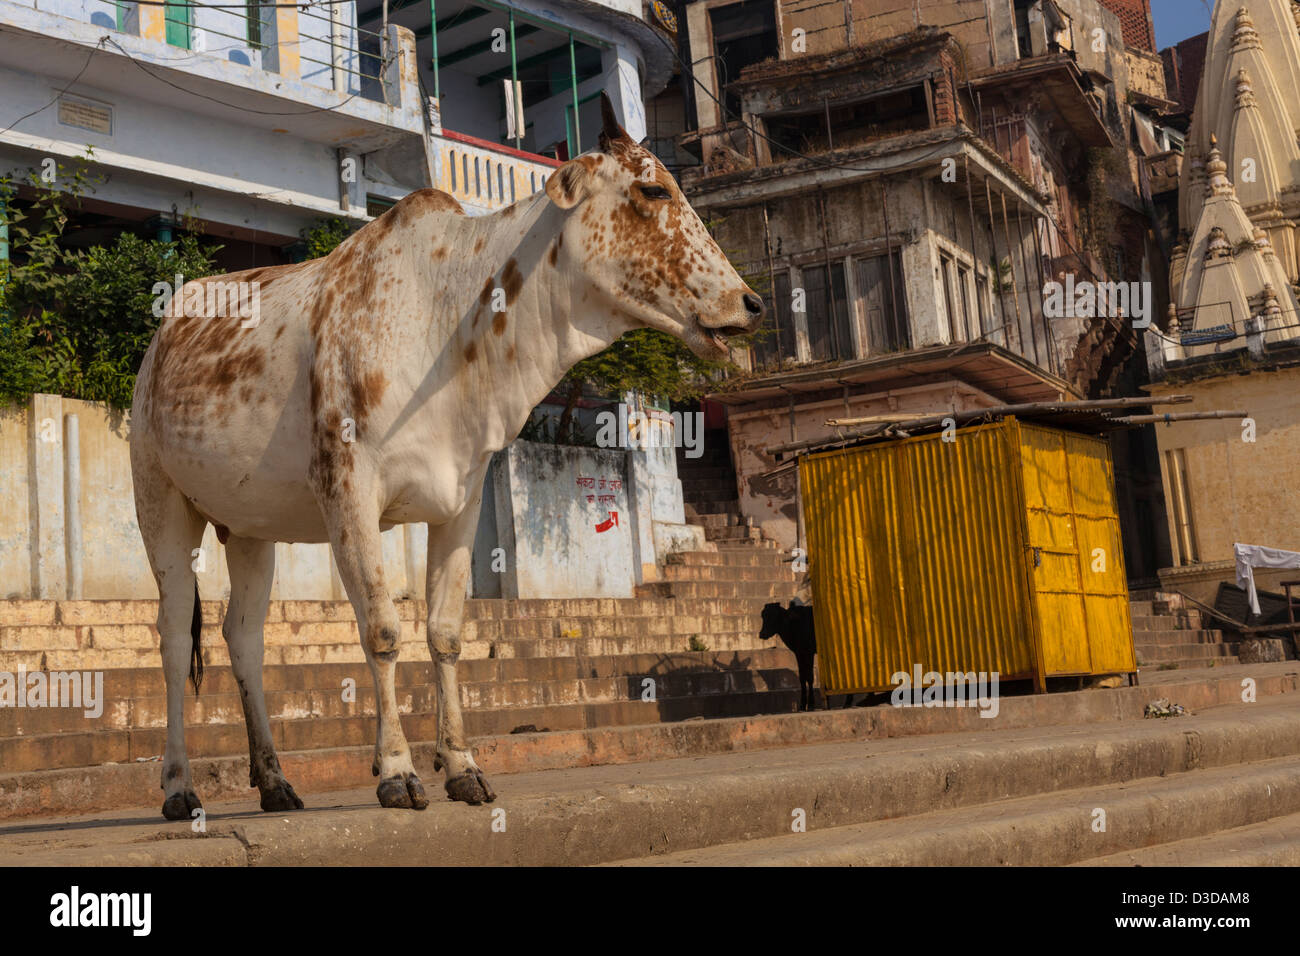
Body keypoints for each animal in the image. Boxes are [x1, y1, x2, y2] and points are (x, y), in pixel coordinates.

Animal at [129, 94, 764, 819]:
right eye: (652, 189)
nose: (750, 303)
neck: (454, 319)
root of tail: (163, 334)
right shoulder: (349, 491)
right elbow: (382, 630)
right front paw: (397, 772)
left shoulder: (460, 502)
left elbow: (445, 633)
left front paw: (461, 766)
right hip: (160, 502)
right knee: (173, 637)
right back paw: (179, 786)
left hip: (251, 529)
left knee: (244, 636)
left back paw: (274, 780)